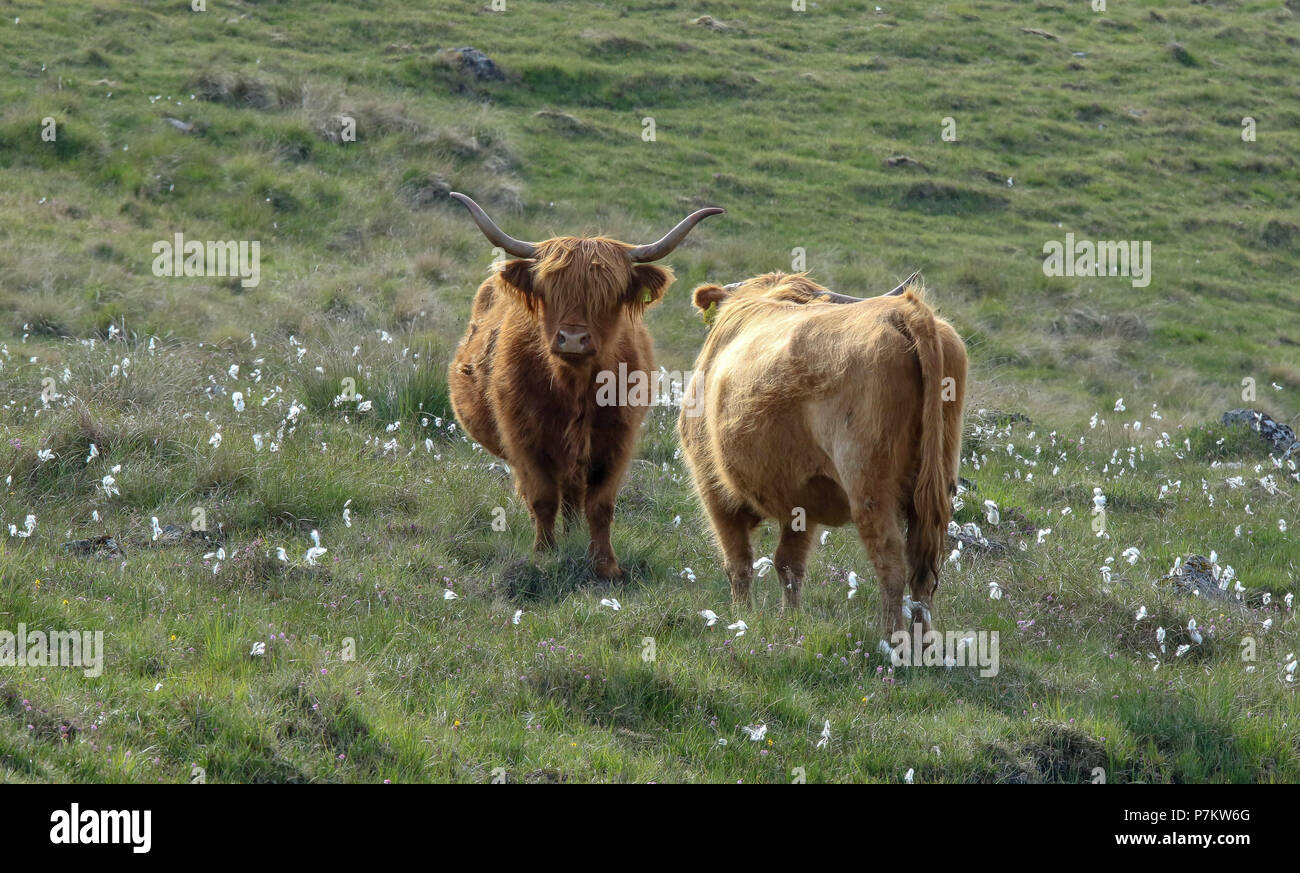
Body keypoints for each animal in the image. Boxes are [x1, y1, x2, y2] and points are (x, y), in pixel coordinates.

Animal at [447, 193, 723, 579]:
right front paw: (544, 555)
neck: (575, 385)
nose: (573, 339)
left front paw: (605, 564)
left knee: (574, 495)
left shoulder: (617, 440)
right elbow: (542, 498)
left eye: (608, 294)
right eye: (549, 291)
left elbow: (601, 504)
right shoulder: (524, 438)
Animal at [677, 271, 966, 644]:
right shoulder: (802, 498)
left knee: (891, 561)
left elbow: (738, 562)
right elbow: (789, 564)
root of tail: (903, 311)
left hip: (869, 487)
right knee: (924, 573)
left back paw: (892, 640)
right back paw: (924, 642)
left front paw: (742, 617)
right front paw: (790, 621)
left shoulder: (712, 486)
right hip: (936, 487)